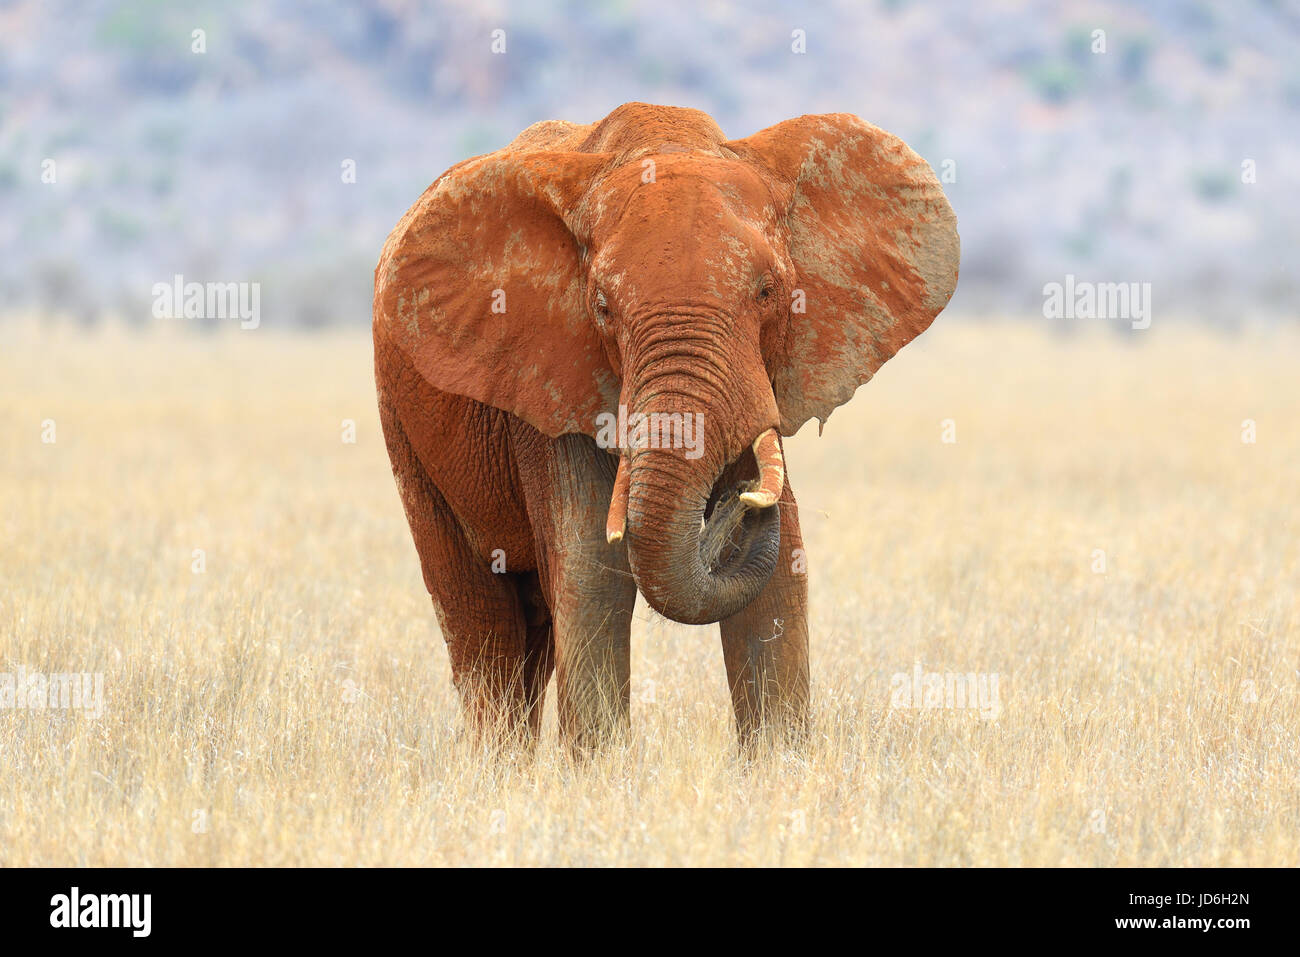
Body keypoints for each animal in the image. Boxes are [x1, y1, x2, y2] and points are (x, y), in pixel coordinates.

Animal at [372, 102, 958, 751]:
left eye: (769, 291)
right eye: (602, 307)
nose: (739, 502)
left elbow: (782, 572)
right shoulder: (551, 381)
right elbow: (591, 570)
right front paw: (600, 772)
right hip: (403, 425)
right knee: (481, 621)